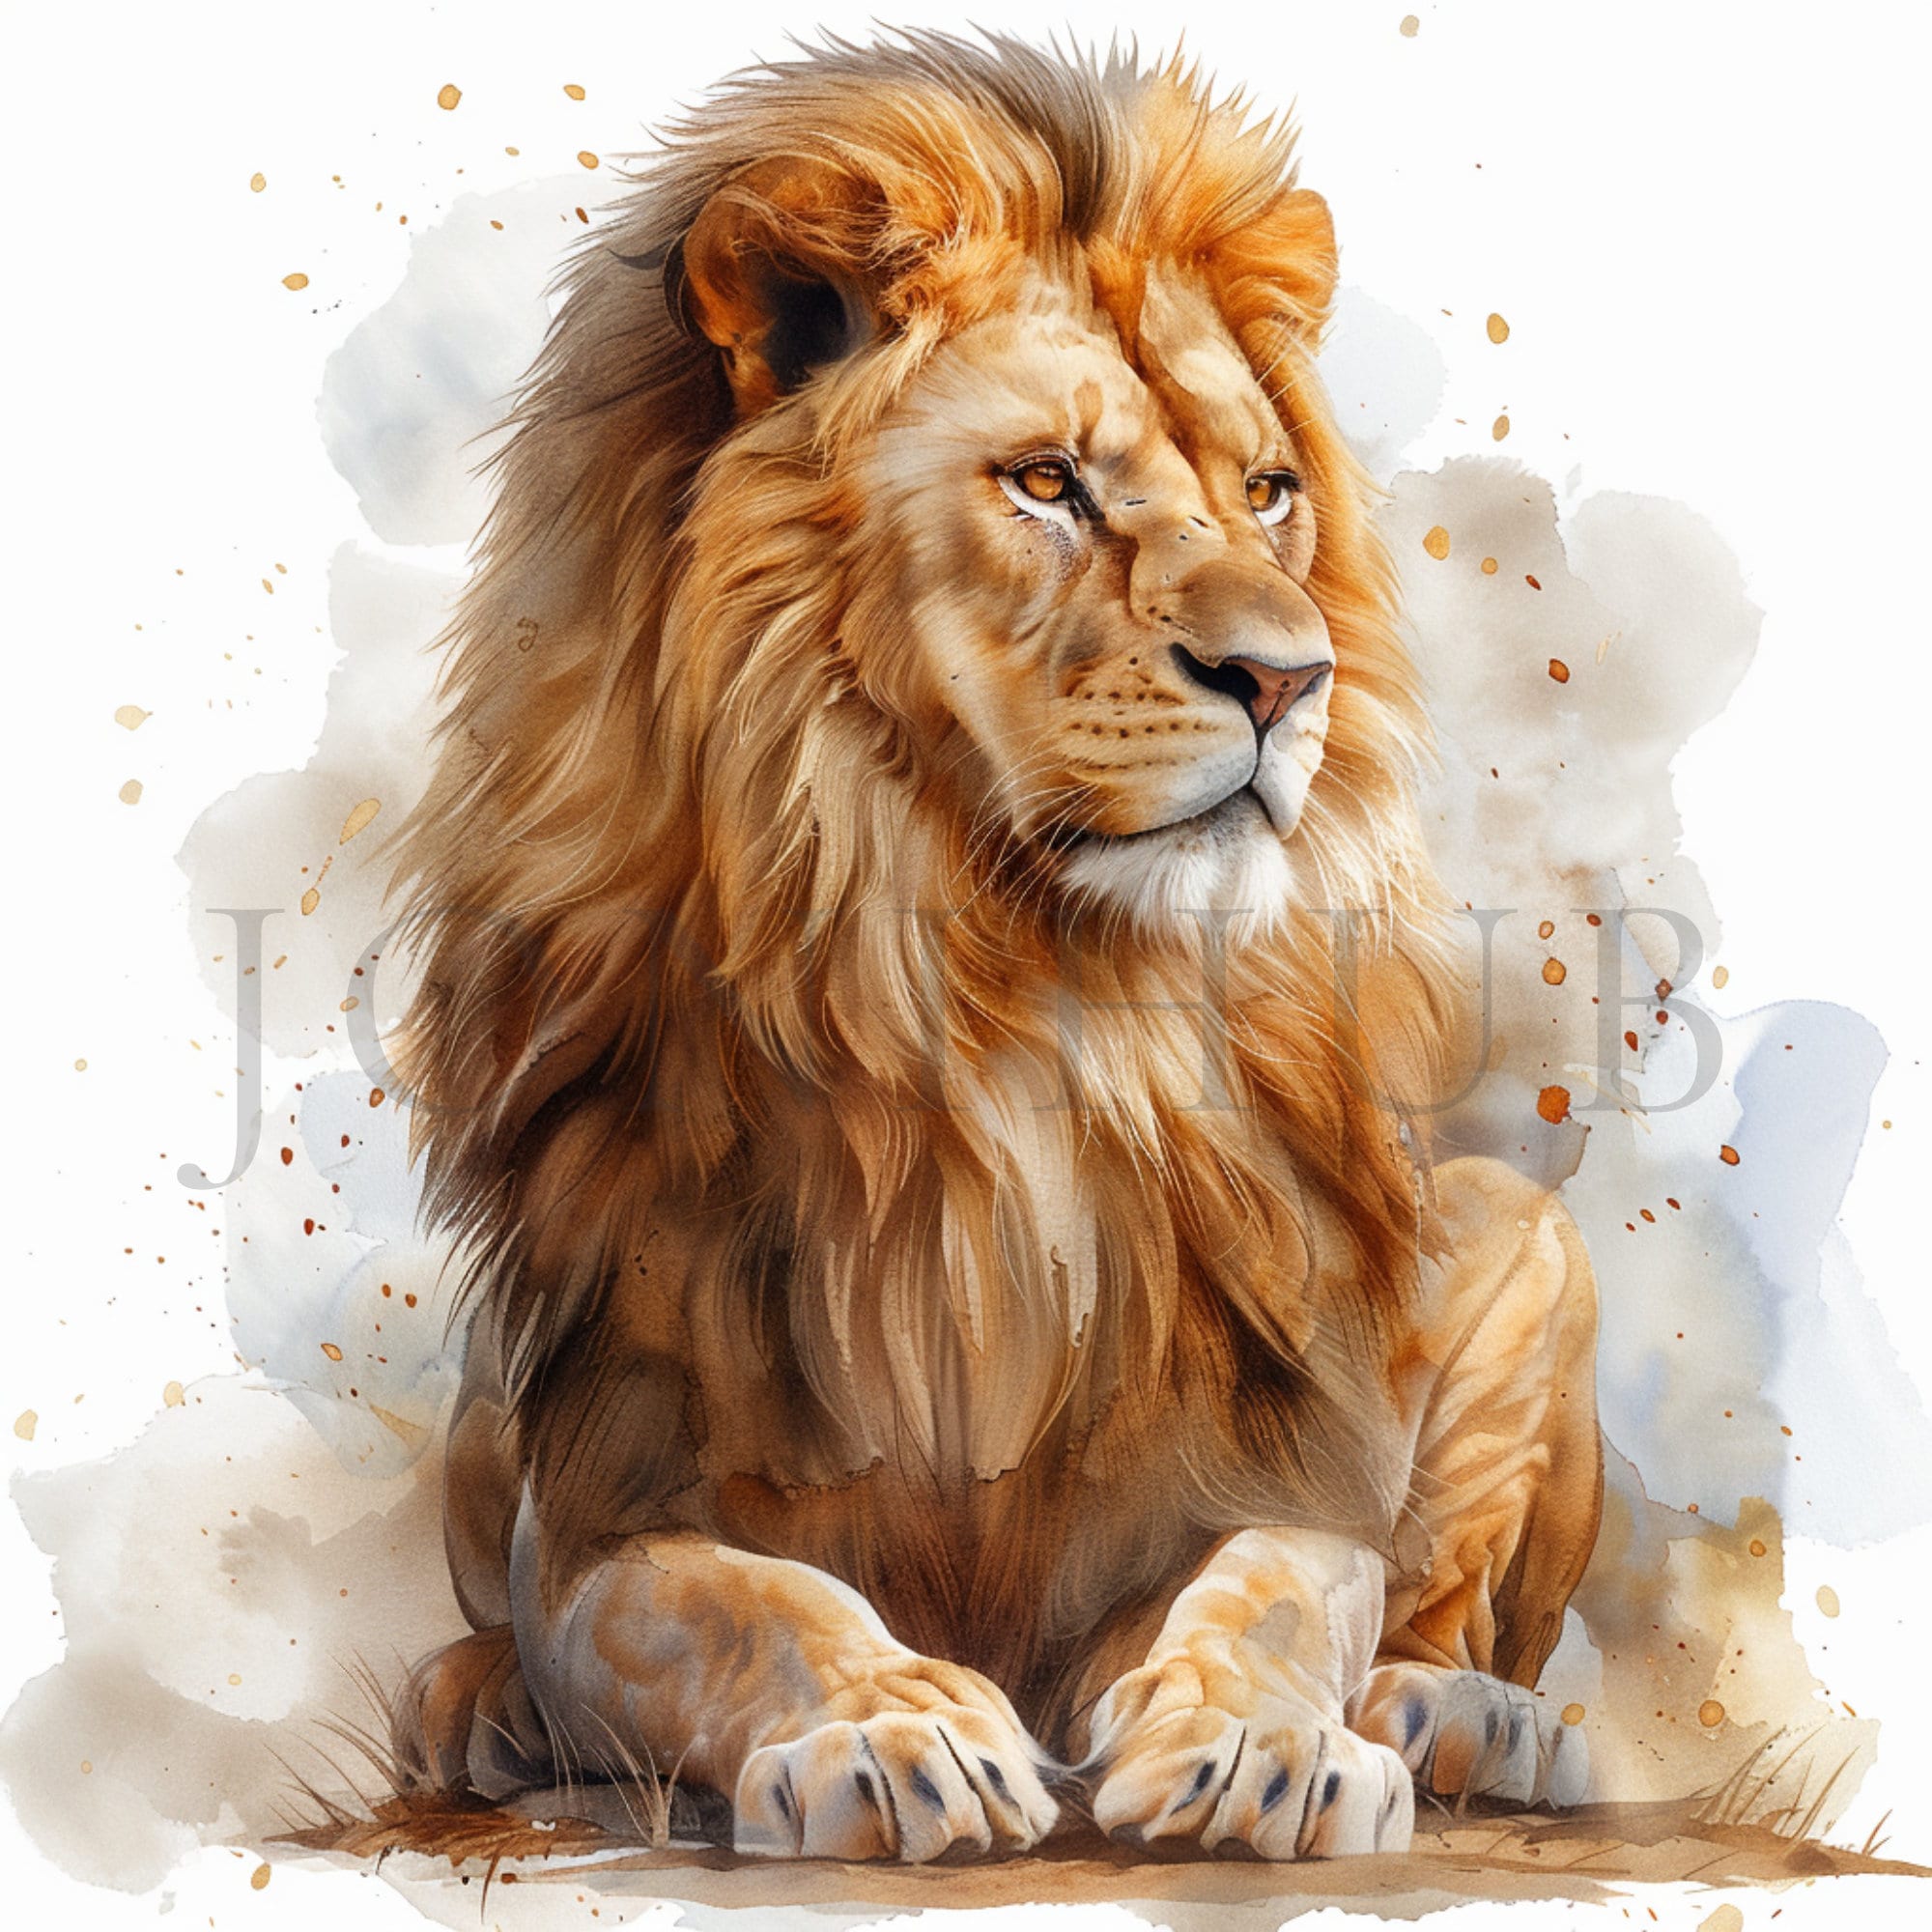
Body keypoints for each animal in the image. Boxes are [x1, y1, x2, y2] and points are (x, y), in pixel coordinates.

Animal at [387, 31, 1603, 1862]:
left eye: (1267, 493)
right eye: (1048, 482)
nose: (1289, 678)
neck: (1016, 991)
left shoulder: (1280, 1462)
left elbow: (1274, 1590)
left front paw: (1263, 1749)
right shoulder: (605, 1490)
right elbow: (741, 1601)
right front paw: (895, 1734)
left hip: (1522, 1236)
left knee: (1445, 1606)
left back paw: (1466, 1715)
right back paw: (481, 1708)